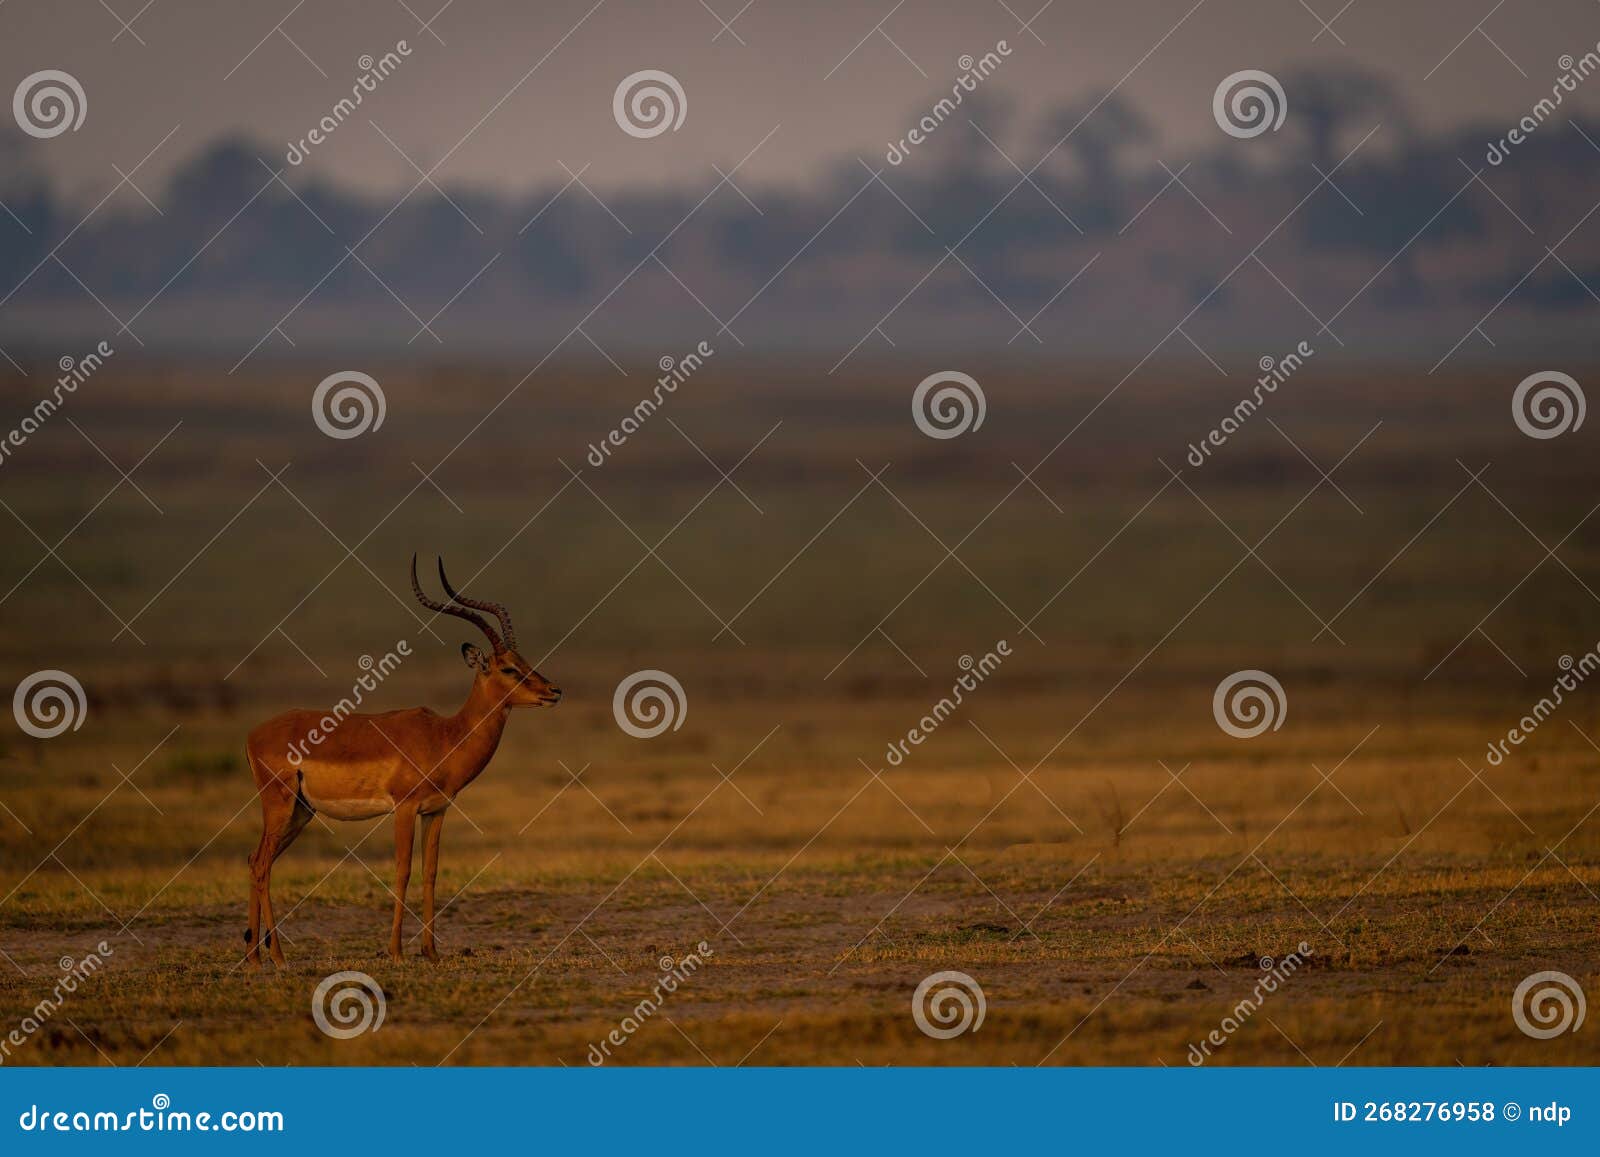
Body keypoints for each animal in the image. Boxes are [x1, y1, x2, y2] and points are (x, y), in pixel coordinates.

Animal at [243, 555, 560, 967]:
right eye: (508, 668)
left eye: (525, 660)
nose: (553, 691)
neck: (445, 736)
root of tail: (253, 735)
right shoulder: (404, 809)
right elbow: (402, 871)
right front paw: (396, 952)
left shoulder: (436, 810)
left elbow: (431, 872)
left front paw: (431, 951)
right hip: (280, 806)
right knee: (262, 865)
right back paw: (278, 957)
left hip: (300, 812)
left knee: (256, 860)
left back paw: (254, 957)